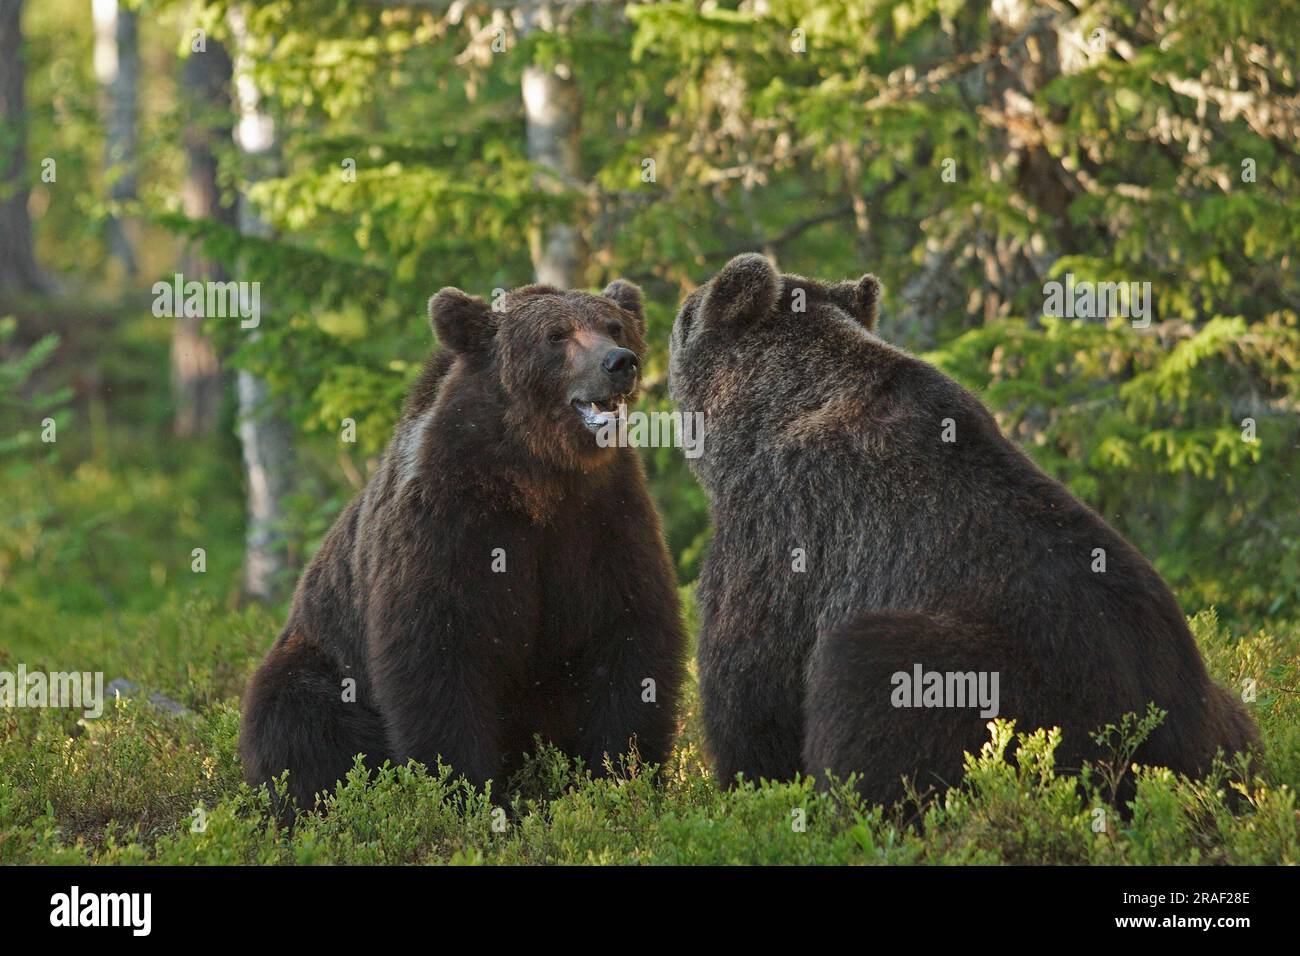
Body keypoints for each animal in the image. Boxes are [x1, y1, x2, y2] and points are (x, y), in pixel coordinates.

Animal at [240, 279, 687, 816]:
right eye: (556, 335)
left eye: (615, 326)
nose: (619, 361)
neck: (536, 475)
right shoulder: (450, 524)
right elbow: (438, 652)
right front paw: (468, 794)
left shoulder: (604, 519)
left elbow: (629, 636)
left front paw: (621, 777)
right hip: (318, 656)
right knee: (297, 719)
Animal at [668, 253, 1258, 806]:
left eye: (684, 317)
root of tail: (1153, 745)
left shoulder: (784, 524)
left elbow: (752, 687)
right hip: (1217, 711)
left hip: (1004, 686)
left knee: (868, 672)